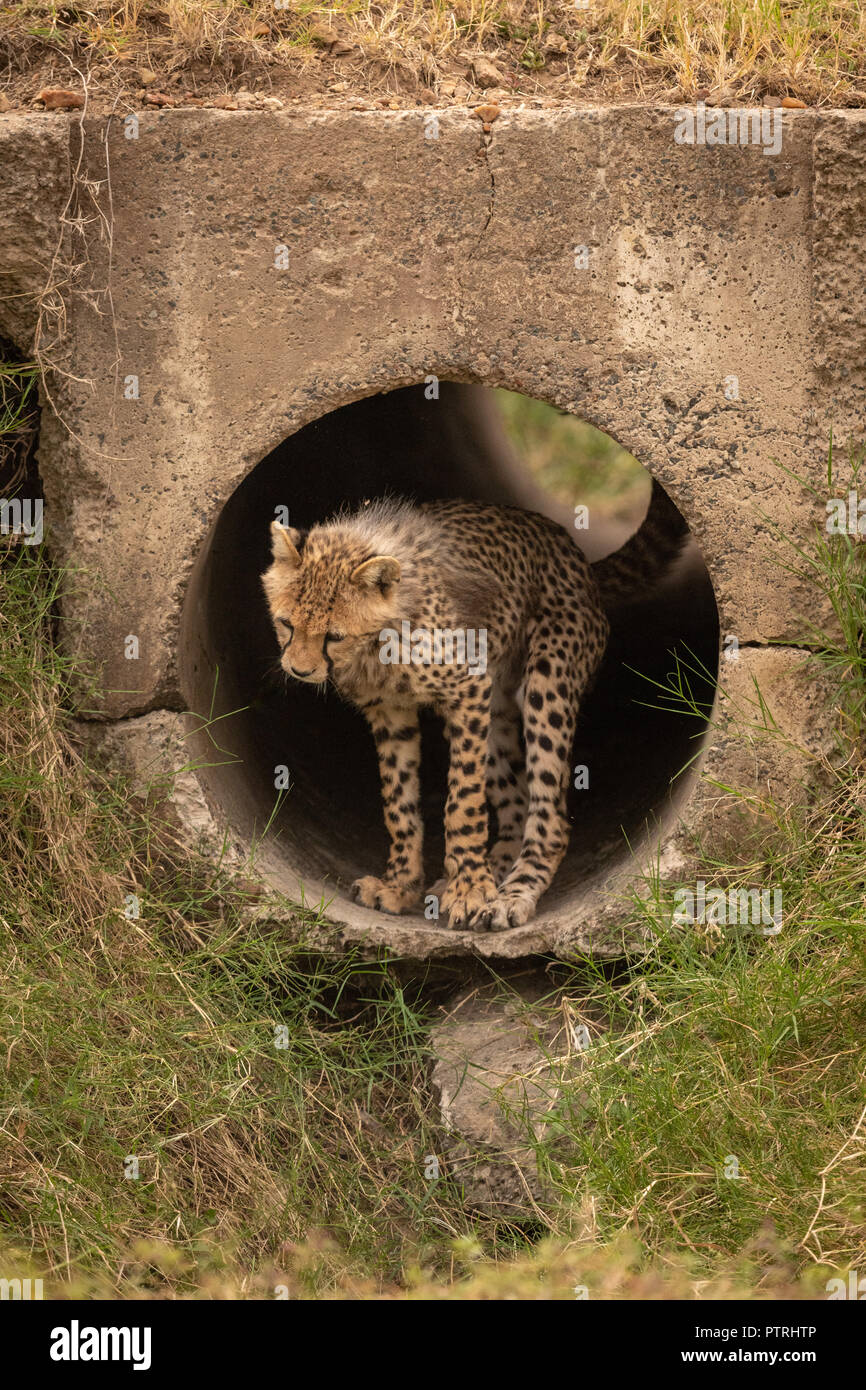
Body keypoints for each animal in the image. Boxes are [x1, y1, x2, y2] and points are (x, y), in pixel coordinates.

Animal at [261, 483, 687, 932]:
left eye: (334, 636)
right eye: (286, 624)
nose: (299, 670)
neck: (377, 644)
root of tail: (575, 554)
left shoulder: (468, 690)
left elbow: (462, 803)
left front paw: (469, 893)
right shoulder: (391, 713)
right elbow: (398, 804)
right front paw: (401, 886)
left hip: (545, 684)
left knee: (549, 815)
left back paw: (511, 894)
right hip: (495, 716)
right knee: (515, 804)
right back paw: (477, 876)